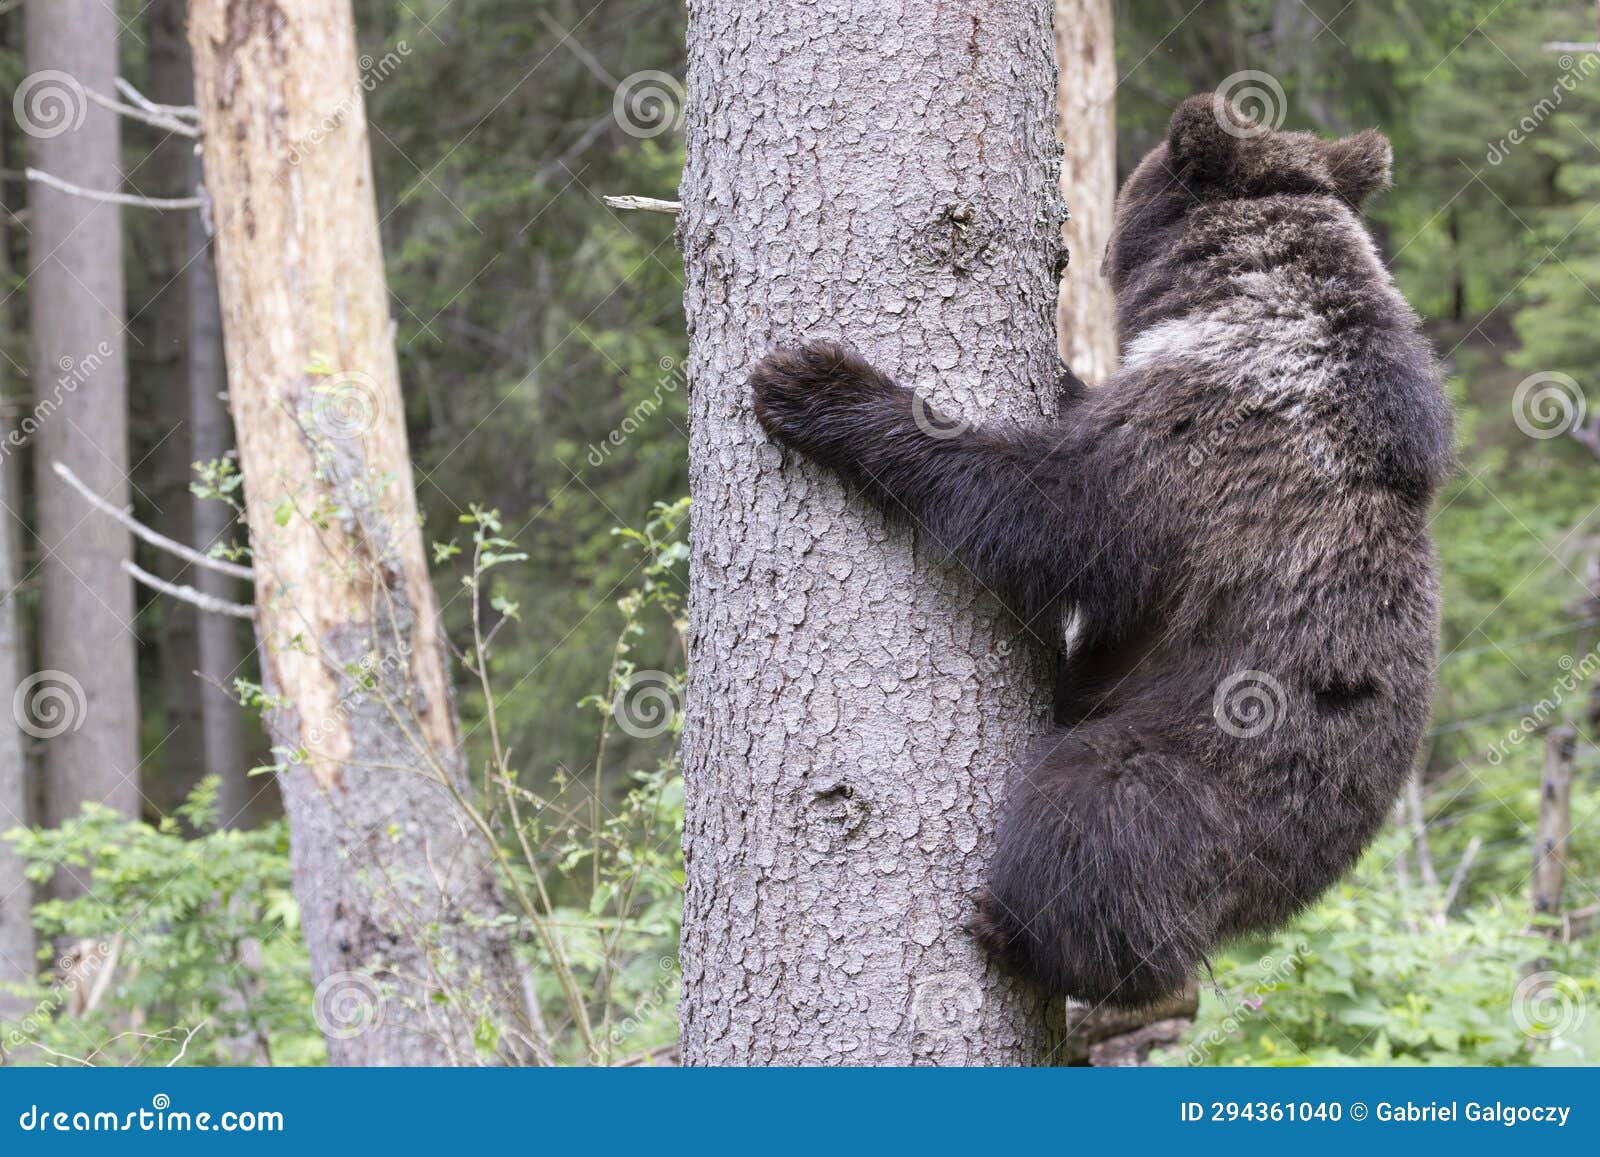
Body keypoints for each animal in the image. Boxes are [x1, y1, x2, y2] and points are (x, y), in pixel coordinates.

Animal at [747, 93, 1452, 1009]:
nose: (1095, 246)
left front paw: (818, 385)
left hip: (1201, 771)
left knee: (1089, 817)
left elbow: (1047, 512)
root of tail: (1276, 898)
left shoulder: (1198, 445)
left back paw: (1021, 932)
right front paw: (1060, 371)